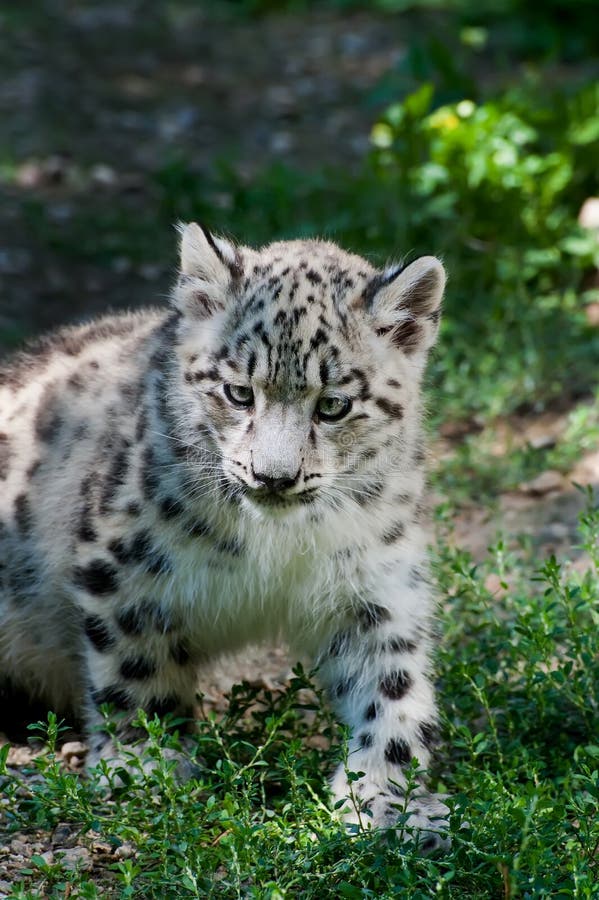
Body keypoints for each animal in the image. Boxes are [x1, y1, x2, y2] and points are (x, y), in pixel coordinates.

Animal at [0, 223, 449, 850]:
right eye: (238, 392)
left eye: (333, 405)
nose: (274, 476)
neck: (281, 549)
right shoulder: (124, 563)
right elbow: (135, 667)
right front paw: (146, 765)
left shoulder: (376, 585)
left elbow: (395, 687)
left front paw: (390, 800)